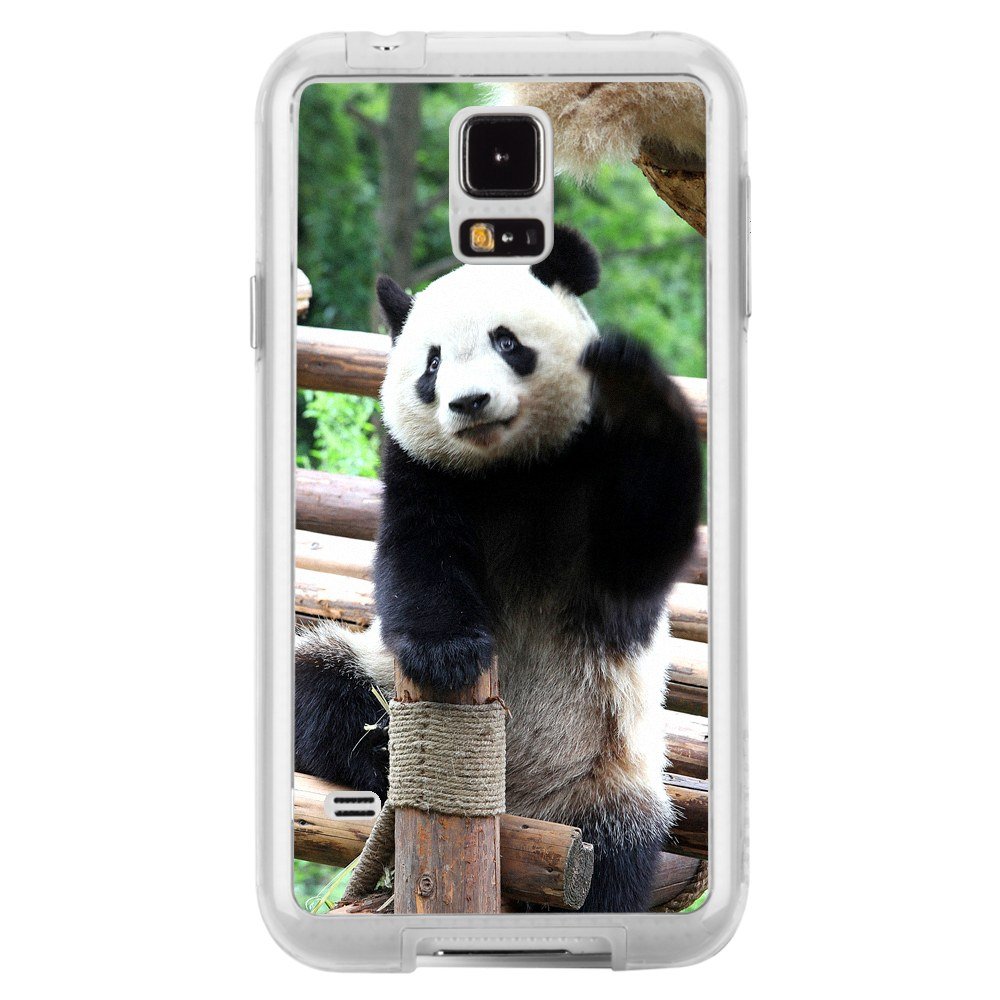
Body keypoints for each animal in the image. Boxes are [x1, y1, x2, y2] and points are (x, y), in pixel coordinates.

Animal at [295, 226, 702, 913]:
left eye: (507, 342)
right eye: (432, 365)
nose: (469, 402)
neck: (508, 470)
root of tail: (519, 806)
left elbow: (644, 548)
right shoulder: (423, 474)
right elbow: (417, 560)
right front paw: (450, 654)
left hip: (603, 775)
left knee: (613, 857)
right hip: (371, 672)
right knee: (322, 686)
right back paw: (378, 754)